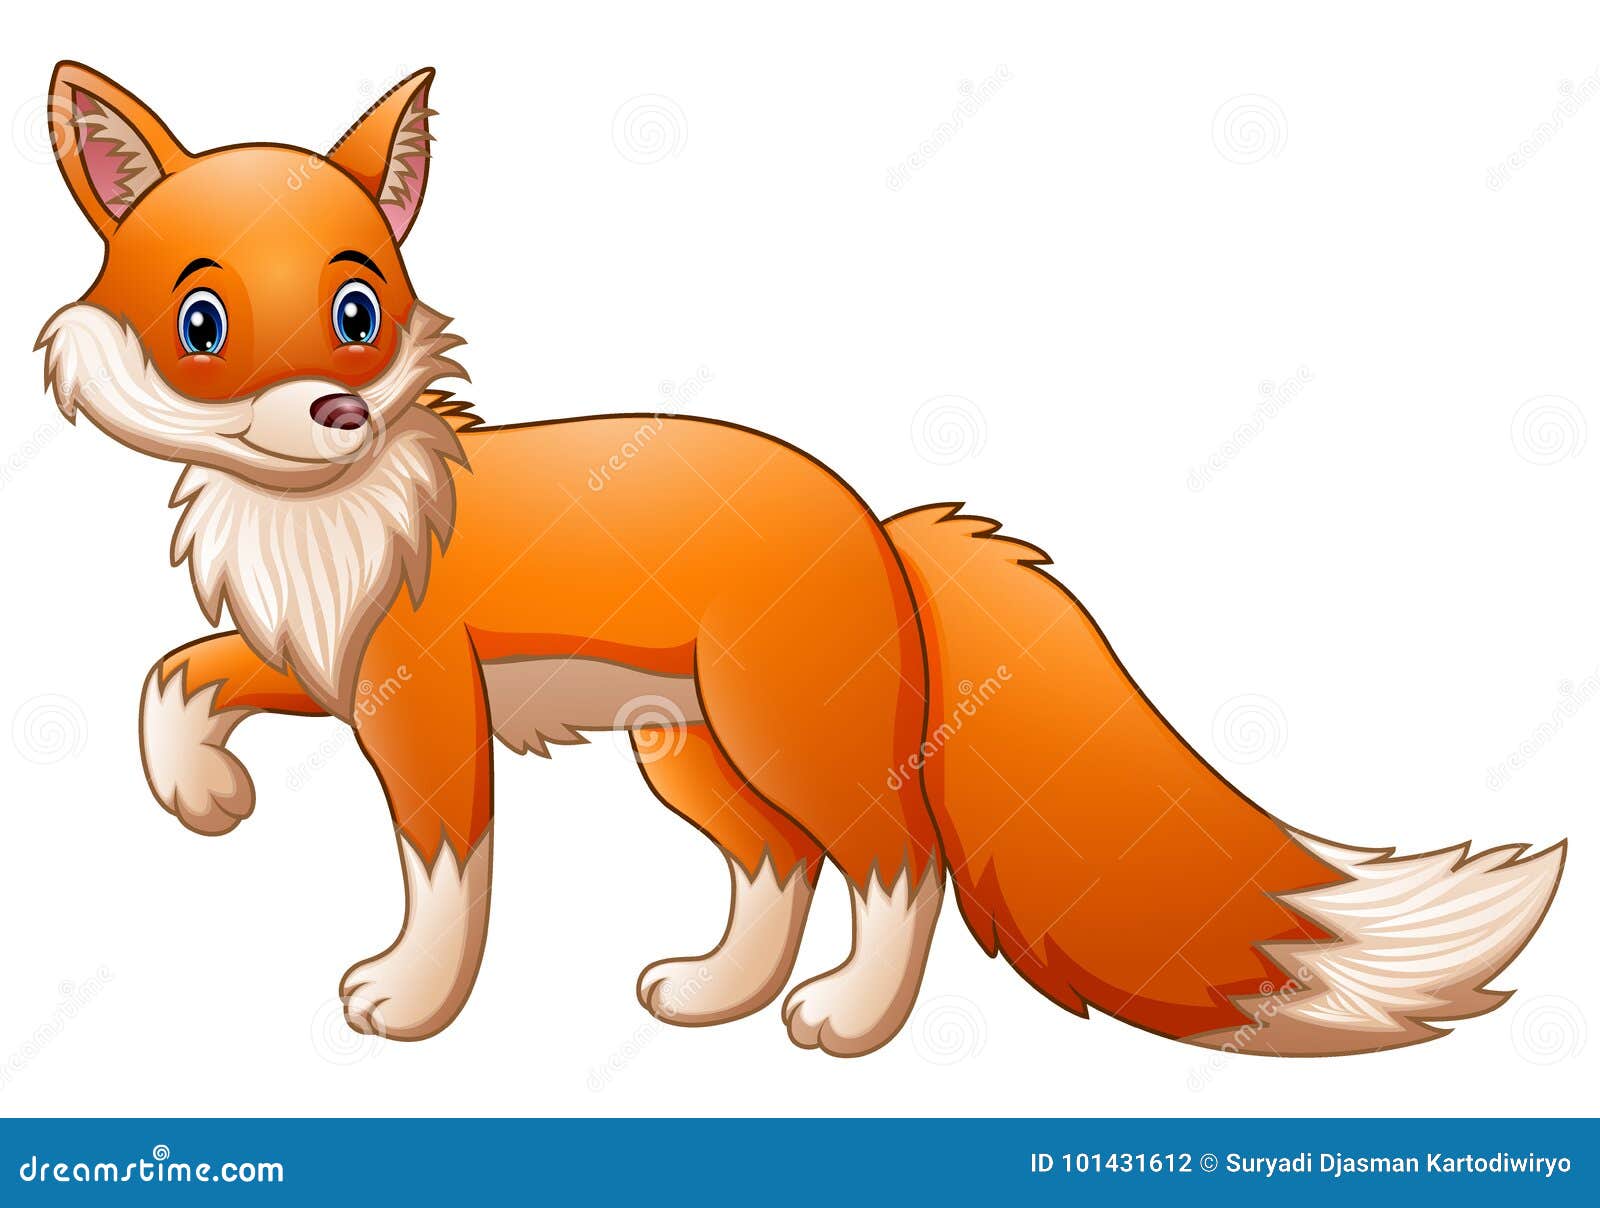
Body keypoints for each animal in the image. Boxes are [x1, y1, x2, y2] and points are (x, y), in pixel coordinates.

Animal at [36, 61, 1566, 1058]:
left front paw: (412, 1004)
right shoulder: (327, 665)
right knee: (780, 864)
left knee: (900, 862)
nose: (338, 413)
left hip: (790, 738)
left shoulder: (423, 711)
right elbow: (174, 679)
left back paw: (843, 1019)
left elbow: (445, 871)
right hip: (693, 752)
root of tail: (876, 522)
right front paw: (203, 793)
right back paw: (718, 995)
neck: (329, 514)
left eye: (357, 310)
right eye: (205, 325)